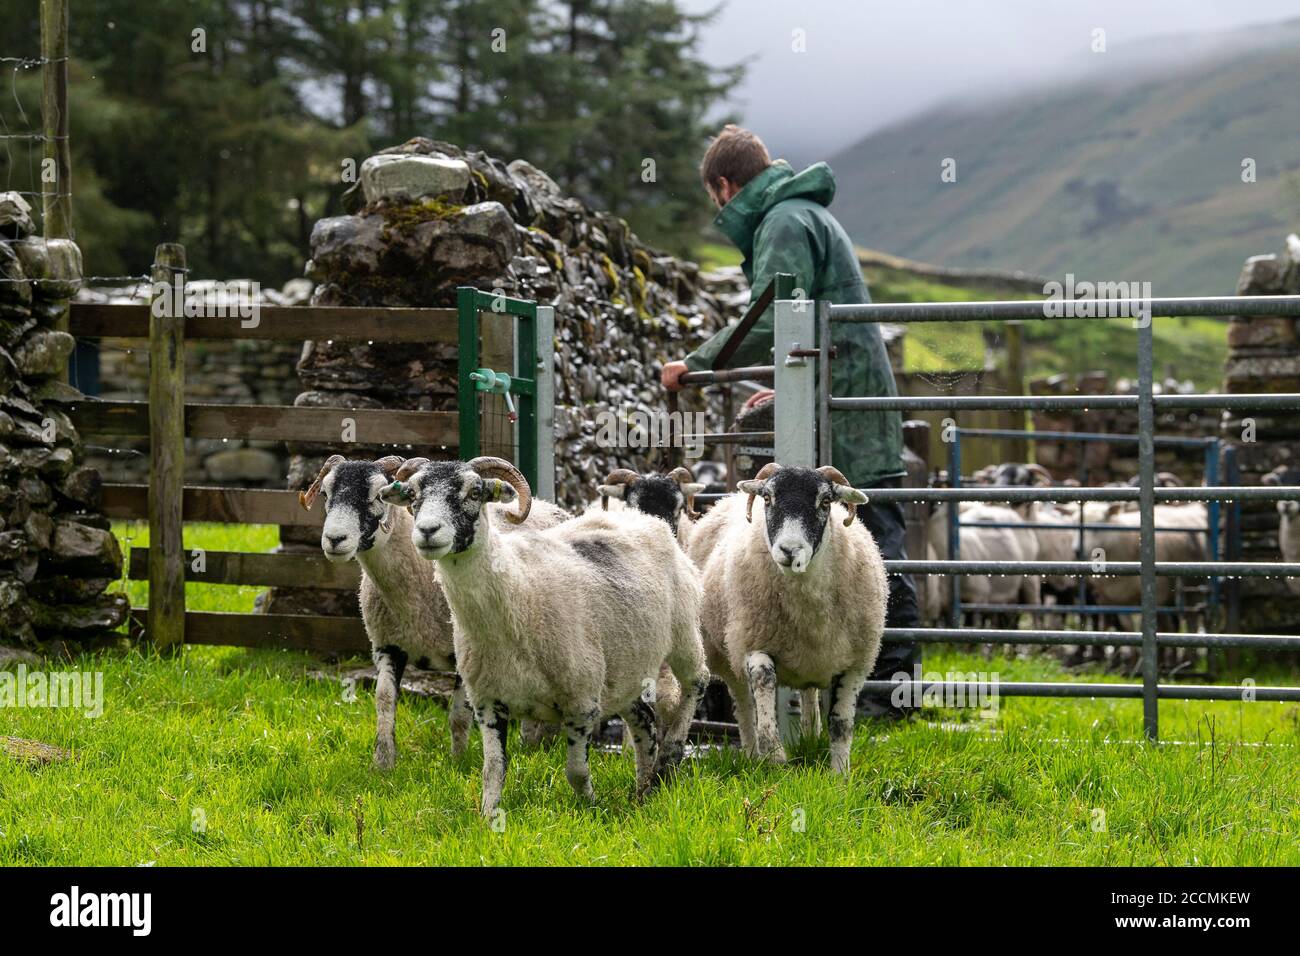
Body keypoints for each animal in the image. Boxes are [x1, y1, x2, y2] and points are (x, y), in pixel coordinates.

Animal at [299, 454, 568, 770]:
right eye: (325, 494)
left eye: (377, 495)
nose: (335, 539)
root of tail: (547, 504)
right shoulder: (387, 645)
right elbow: (384, 700)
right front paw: (383, 762)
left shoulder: (462, 654)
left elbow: (459, 715)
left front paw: (459, 762)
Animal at [387, 455, 709, 816]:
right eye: (413, 494)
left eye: (474, 491)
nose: (427, 531)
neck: (519, 593)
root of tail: (647, 520)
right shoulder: (487, 703)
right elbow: (492, 770)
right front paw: (489, 819)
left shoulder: (582, 702)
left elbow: (576, 771)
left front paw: (592, 810)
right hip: (625, 668)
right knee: (644, 720)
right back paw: (644, 791)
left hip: (684, 633)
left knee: (697, 682)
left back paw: (669, 759)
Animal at [684, 462, 887, 773]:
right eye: (767, 499)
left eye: (825, 502)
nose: (790, 550)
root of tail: (727, 499)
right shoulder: (753, 642)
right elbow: (764, 683)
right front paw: (774, 755)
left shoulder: (856, 663)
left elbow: (841, 725)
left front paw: (840, 775)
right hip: (725, 652)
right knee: (744, 706)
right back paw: (751, 752)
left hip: (813, 662)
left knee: (809, 698)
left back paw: (810, 737)